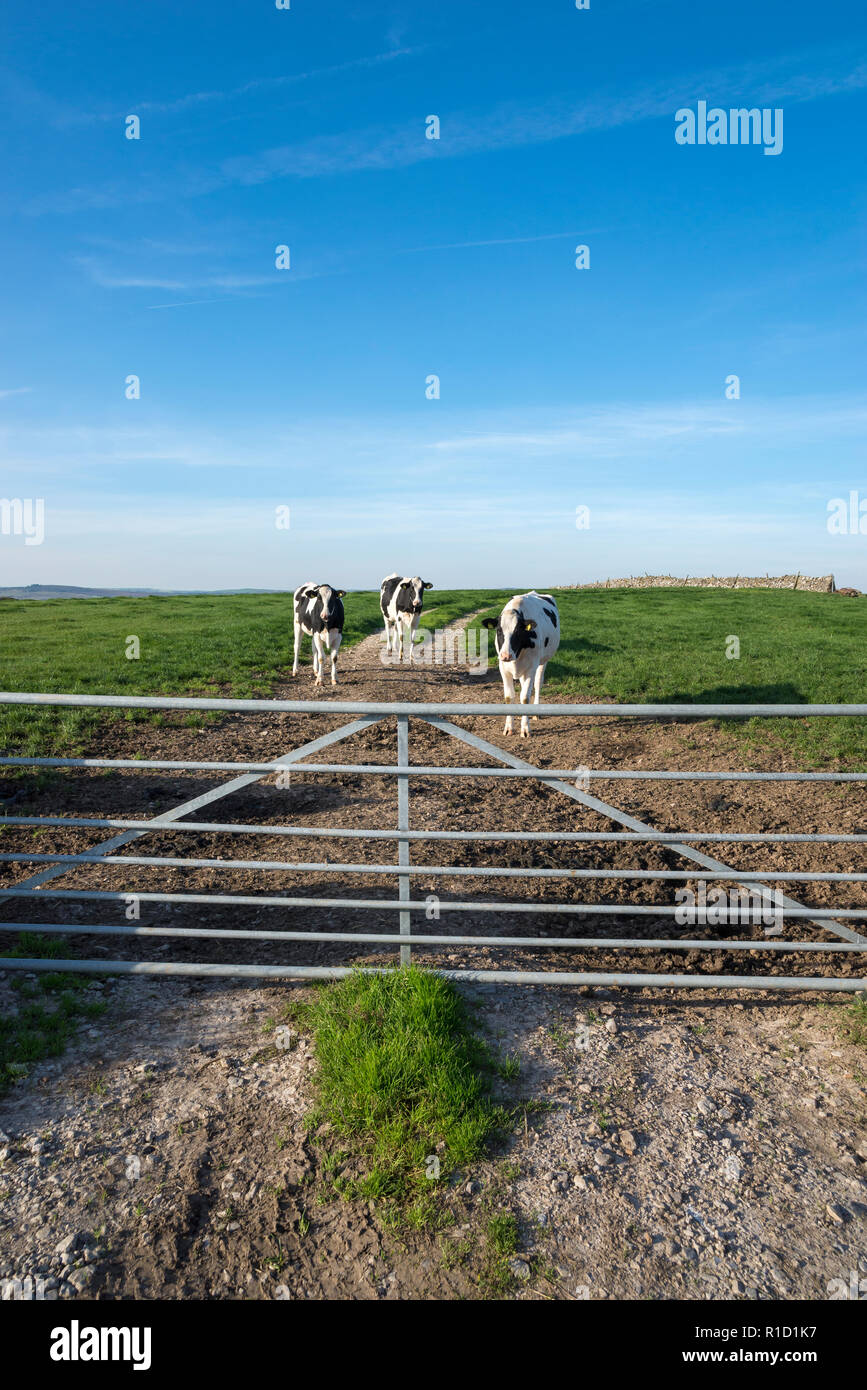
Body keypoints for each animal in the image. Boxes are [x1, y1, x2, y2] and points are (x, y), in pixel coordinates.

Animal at [482, 592, 560, 737]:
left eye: (518, 631)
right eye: (498, 630)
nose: (506, 655)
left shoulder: (531, 667)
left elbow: (525, 697)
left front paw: (525, 729)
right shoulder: (503, 668)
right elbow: (509, 697)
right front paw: (508, 727)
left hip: (543, 661)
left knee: (537, 683)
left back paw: (535, 712)